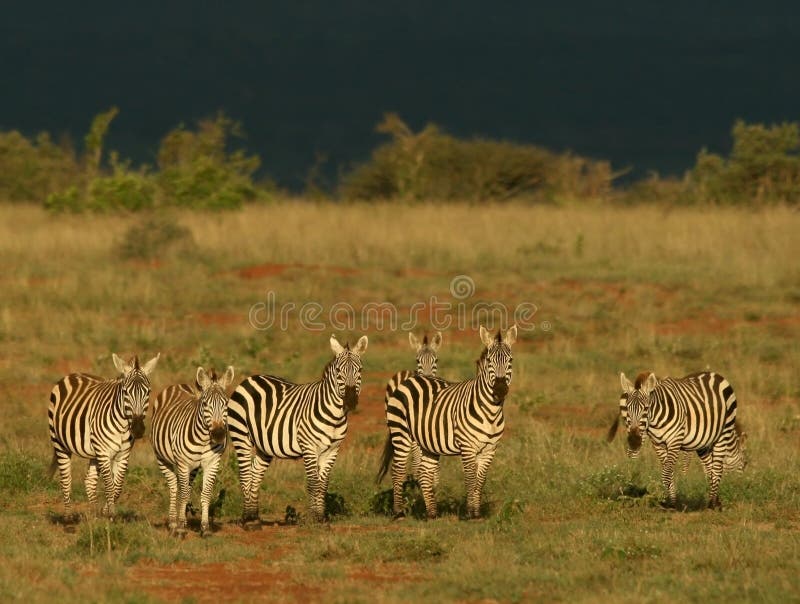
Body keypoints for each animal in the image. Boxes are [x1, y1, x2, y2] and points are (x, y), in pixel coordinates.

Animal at [48, 353, 160, 520]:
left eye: (148, 392)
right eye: (125, 392)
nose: (138, 429)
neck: (122, 426)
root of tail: (73, 374)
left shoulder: (123, 454)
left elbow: (117, 486)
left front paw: (106, 511)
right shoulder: (104, 452)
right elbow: (109, 485)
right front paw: (111, 514)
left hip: (94, 452)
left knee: (89, 481)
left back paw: (94, 514)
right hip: (60, 443)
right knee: (66, 479)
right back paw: (67, 517)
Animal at [151, 366, 235, 537]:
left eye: (226, 403)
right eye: (205, 404)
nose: (218, 434)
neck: (203, 439)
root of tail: (179, 385)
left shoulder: (212, 463)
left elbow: (206, 494)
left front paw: (205, 528)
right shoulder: (183, 463)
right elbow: (183, 494)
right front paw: (180, 528)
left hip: (193, 468)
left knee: (187, 487)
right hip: (162, 459)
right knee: (174, 487)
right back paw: (174, 523)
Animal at [227, 334, 368, 524]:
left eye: (360, 370)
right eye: (338, 371)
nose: (351, 401)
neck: (335, 416)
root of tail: (250, 379)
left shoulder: (333, 450)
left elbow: (323, 484)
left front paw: (321, 518)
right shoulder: (309, 447)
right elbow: (314, 483)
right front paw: (314, 519)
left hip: (264, 445)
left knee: (255, 473)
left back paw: (253, 516)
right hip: (241, 435)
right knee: (245, 474)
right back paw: (248, 521)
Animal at [615, 371, 746, 509]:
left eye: (646, 408)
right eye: (627, 409)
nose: (634, 440)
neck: (656, 420)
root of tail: (715, 374)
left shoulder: (675, 440)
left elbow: (667, 474)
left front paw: (673, 503)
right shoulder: (658, 444)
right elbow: (669, 473)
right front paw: (672, 502)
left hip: (724, 431)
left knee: (716, 469)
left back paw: (712, 503)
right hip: (705, 442)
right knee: (711, 469)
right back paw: (713, 500)